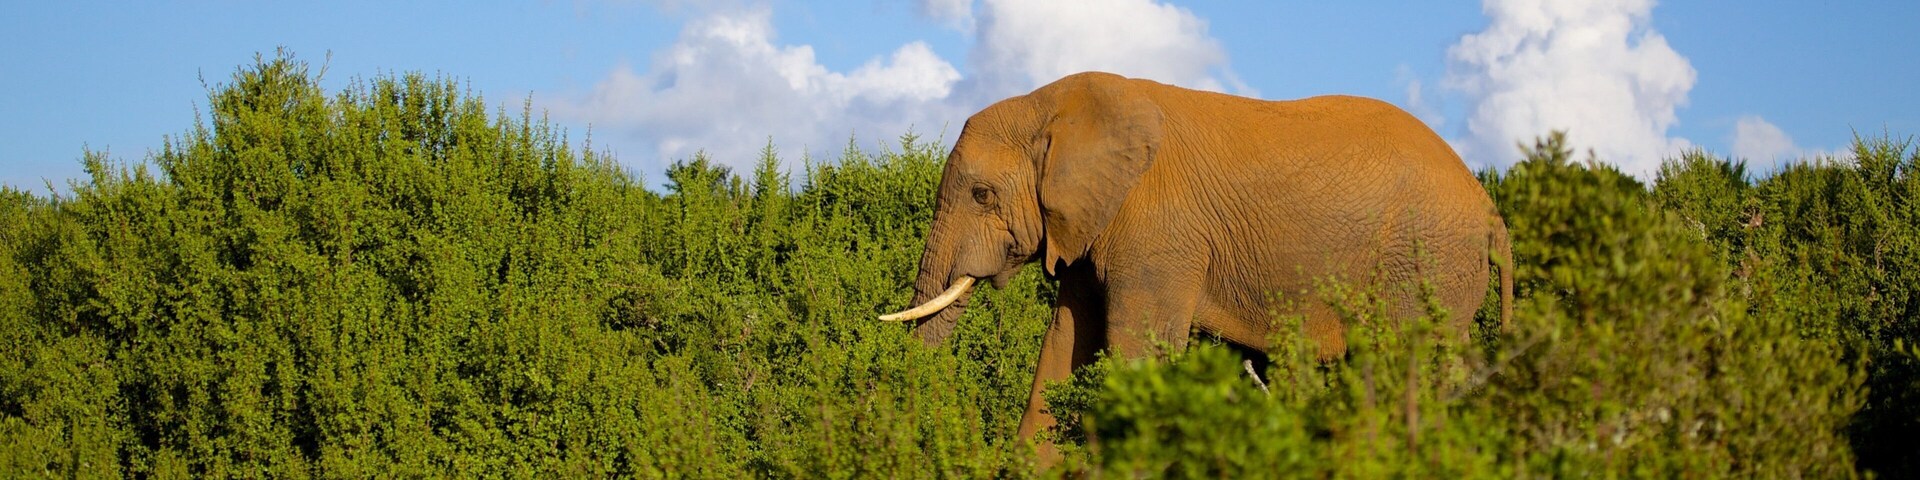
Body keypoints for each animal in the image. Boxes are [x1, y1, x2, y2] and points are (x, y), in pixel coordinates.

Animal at [880, 71, 1512, 454]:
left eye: (982, 194)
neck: (1056, 106)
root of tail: (1491, 212)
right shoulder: (1092, 228)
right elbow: (1061, 348)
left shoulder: (1159, 233)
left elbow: (1137, 352)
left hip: (1424, 261)